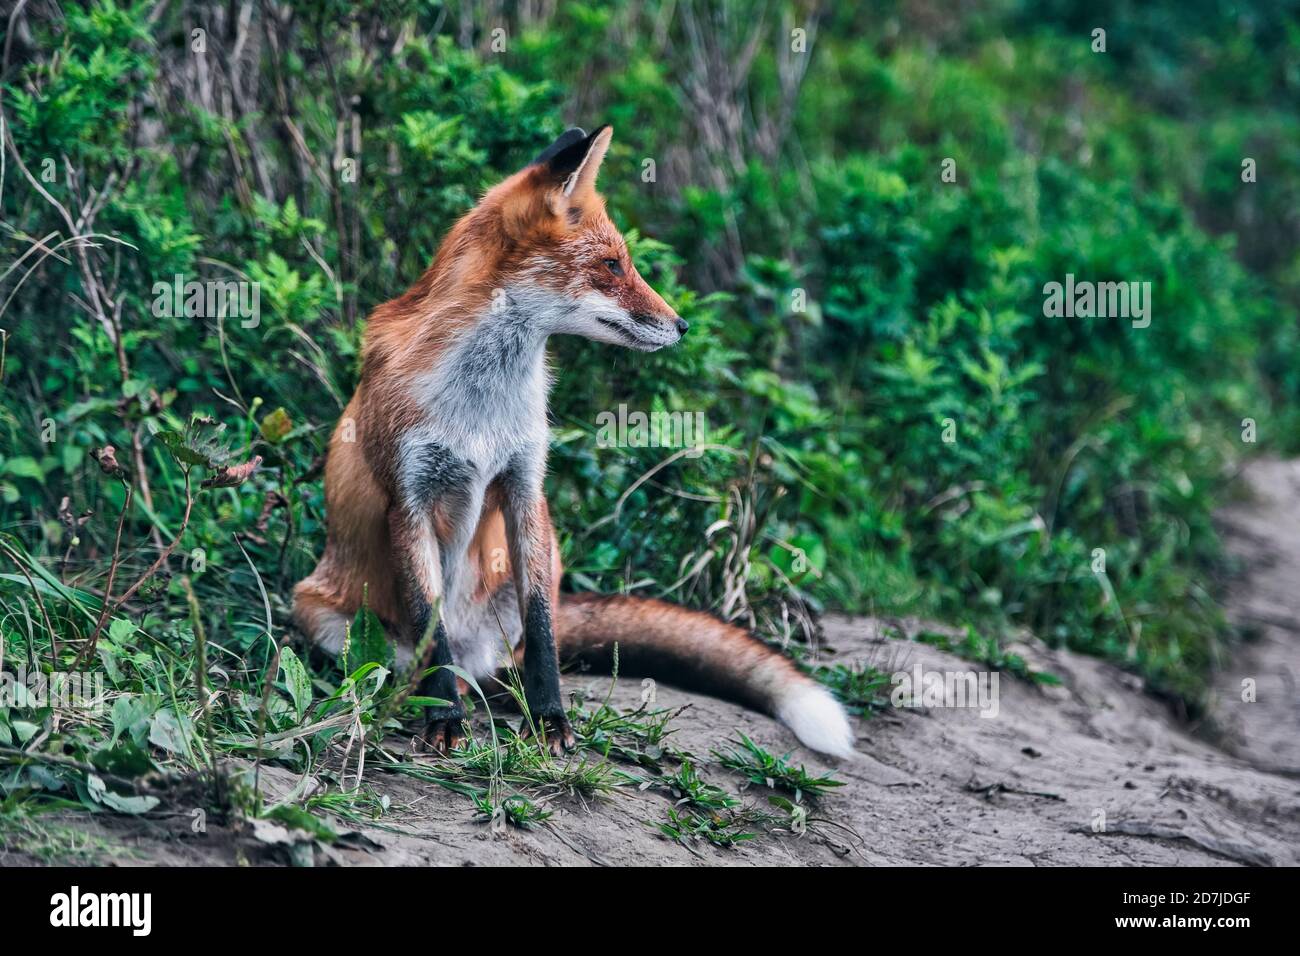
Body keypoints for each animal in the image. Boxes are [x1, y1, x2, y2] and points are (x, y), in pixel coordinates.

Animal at [291, 125, 854, 758]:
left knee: (513, 657)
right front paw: (445, 720)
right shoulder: (408, 500)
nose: (682, 326)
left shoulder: (524, 484)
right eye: (611, 265)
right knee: (421, 660)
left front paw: (550, 717)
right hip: (322, 616)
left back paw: (503, 693)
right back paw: (435, 695)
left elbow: (543, 629)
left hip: (531, 570)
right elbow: (431, 624)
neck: (482, 405)